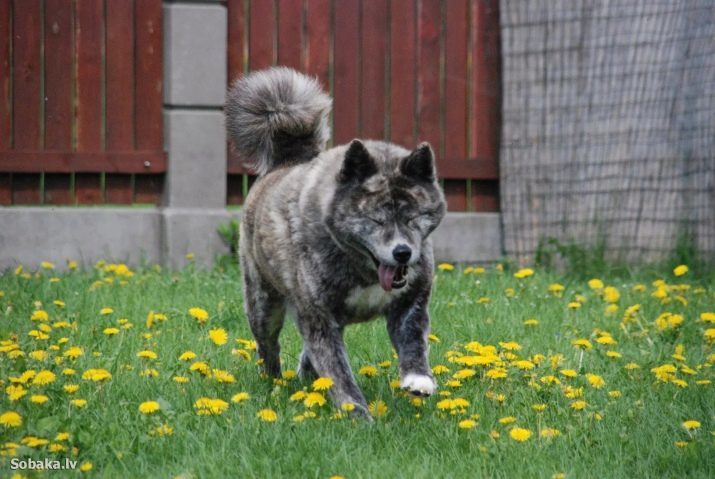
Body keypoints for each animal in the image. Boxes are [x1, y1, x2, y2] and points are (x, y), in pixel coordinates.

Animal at [227, 67, 444, 416]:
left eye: (414, 217)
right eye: (375, 220)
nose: (402, 253)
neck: (363, 268)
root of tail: (286, 162)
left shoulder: (410, 304)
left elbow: (413, 343)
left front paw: (418, 380)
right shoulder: (320, 318)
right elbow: (339, 372)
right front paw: (357, 415)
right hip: (263, 303)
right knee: (268, 346)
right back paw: (273, 383)